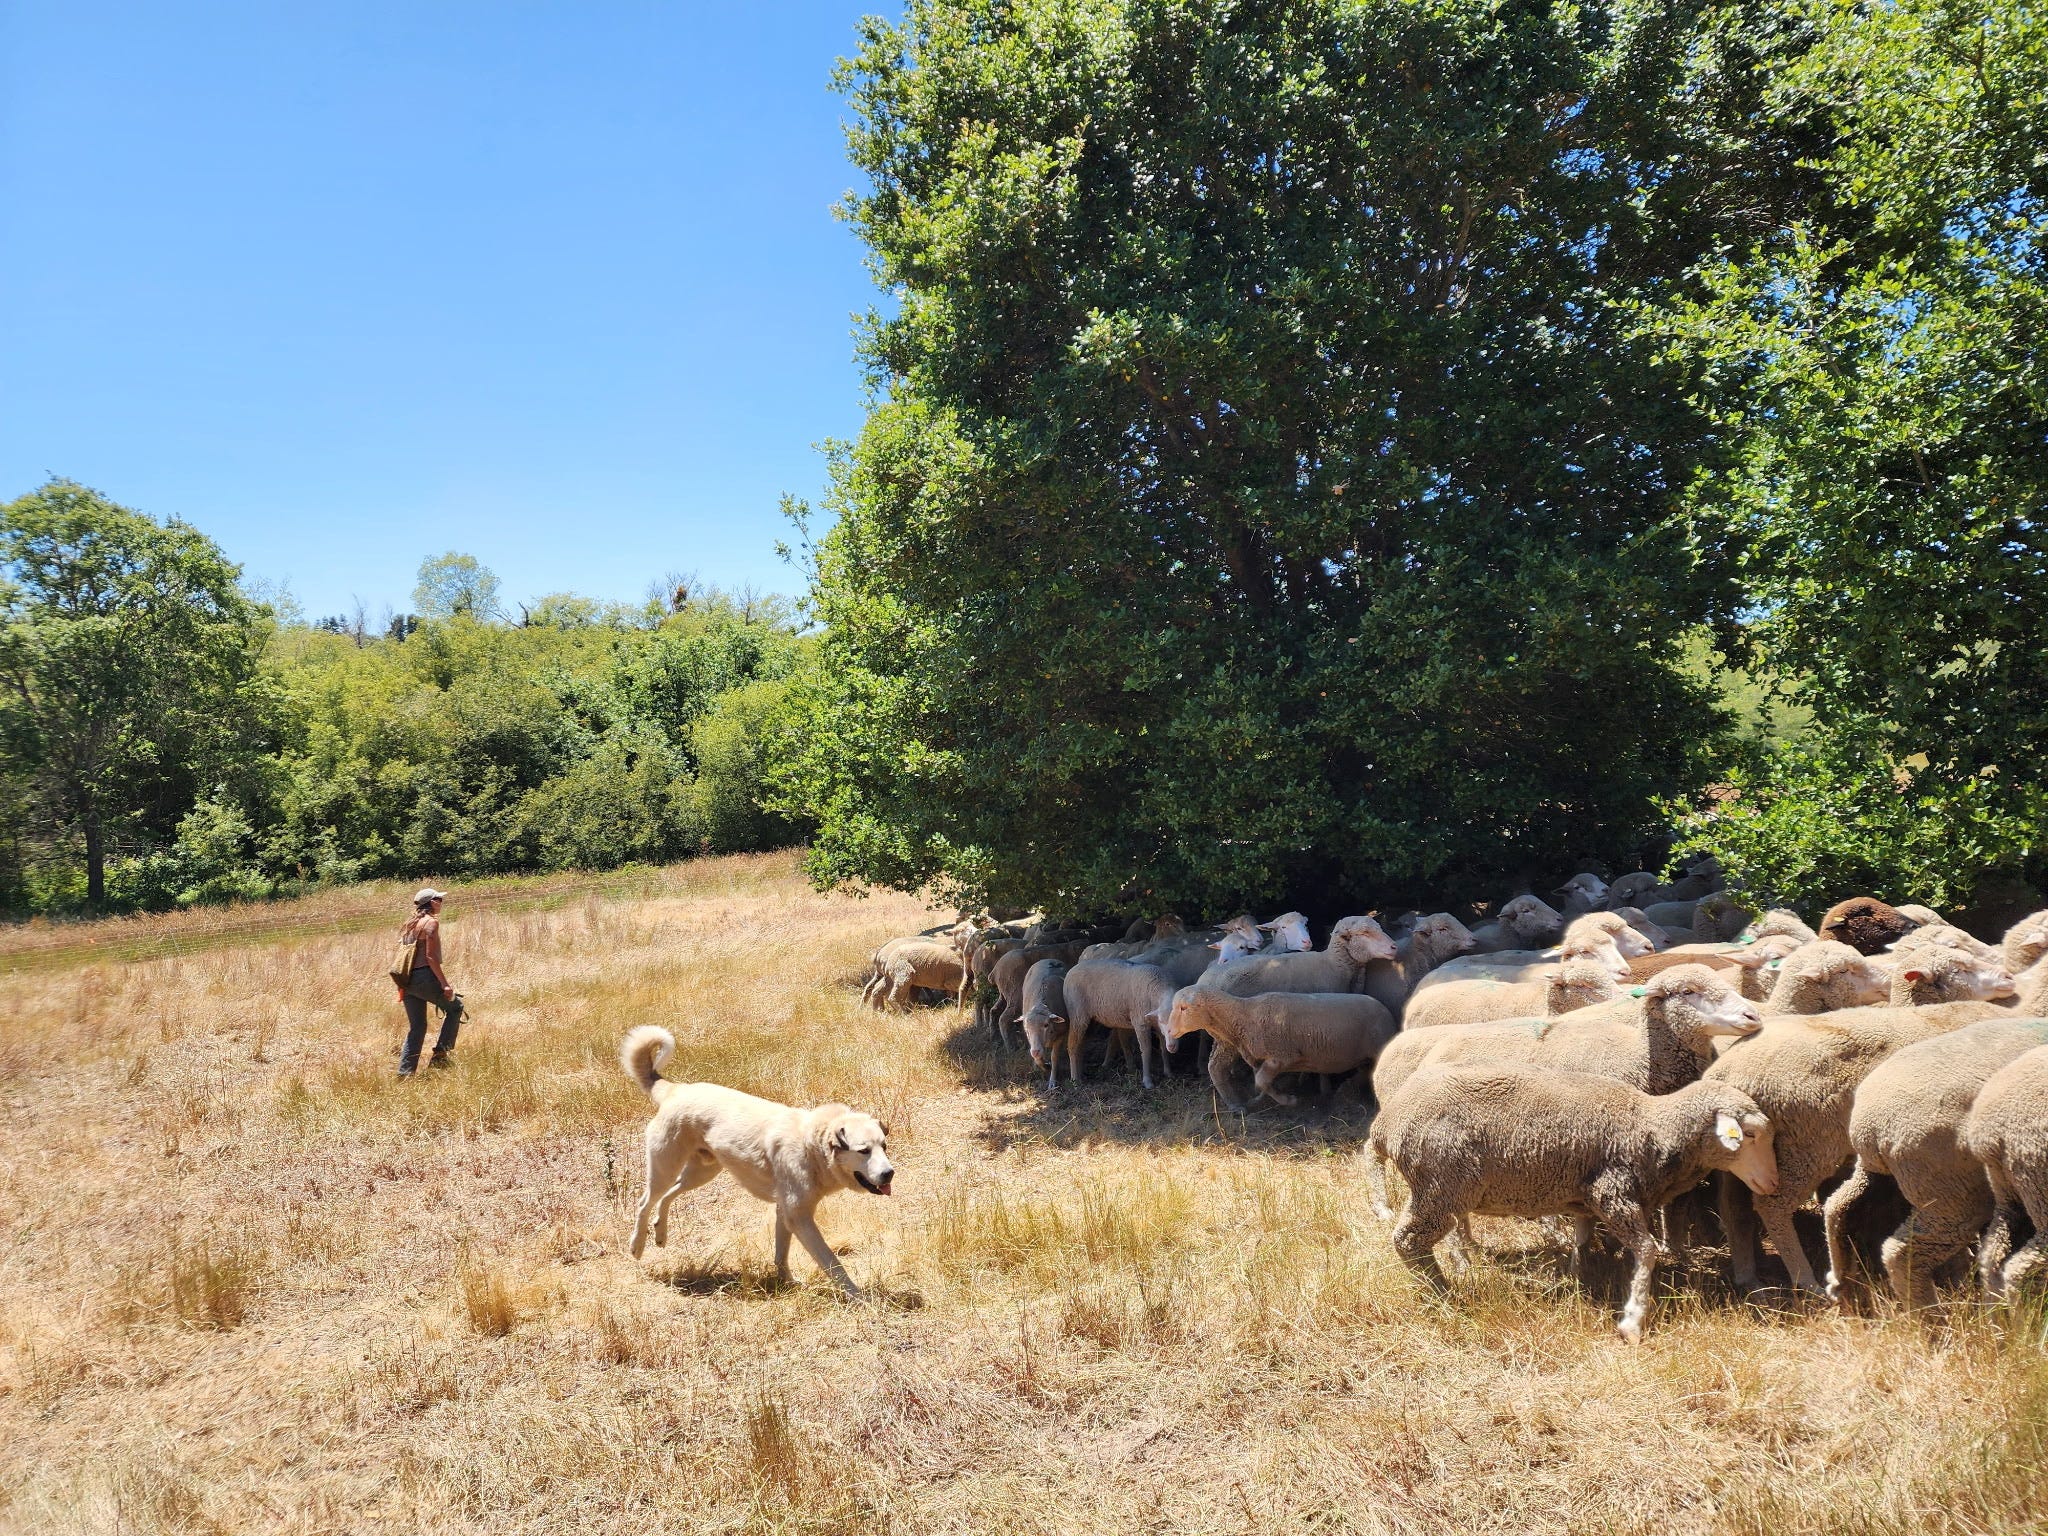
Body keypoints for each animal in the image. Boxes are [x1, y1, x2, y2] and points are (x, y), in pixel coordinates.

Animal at [1057, 958, 1180, 1090]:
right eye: (1162, 1020)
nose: (1172, 1046)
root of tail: (1071, 970)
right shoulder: (1140, 1022)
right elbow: (1146, 1050)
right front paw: (1147, 1081)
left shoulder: (1157, 1025)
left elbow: (1163, 1049)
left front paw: (1168, 1072)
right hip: (1077, 1014)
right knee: (1072, 1045)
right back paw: (1075, 1079)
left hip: (1090, 1020)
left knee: (1080, 1044)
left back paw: (1081, 1073)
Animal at [1162, 985, 1398, 1111]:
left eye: (1184, 1008)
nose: (1170, 1032)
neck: (1244, 1015)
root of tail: (1385, 1010)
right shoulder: (1259, 1058)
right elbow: (1260, 1081)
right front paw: (1258, 1099)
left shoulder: (1282, 1056)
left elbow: (1261, 1080)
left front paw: (1289, 1100)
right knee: (1365, 1072)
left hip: (1377, 1048)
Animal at [1373, 1065, 1777, 1341]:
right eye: (1750, 1135)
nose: (1773, 1183)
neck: (1653, 1128)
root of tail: (1386, 1122)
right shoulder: (1613, 1193)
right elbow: (1646, 1251)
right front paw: (1633, 1319)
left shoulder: (1587, 1198)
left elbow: (1583, 1240)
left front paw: (1576, 1281)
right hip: (1439, 1186)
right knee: (1408, 1241)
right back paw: (1442, 1296)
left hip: (1443, 1188)